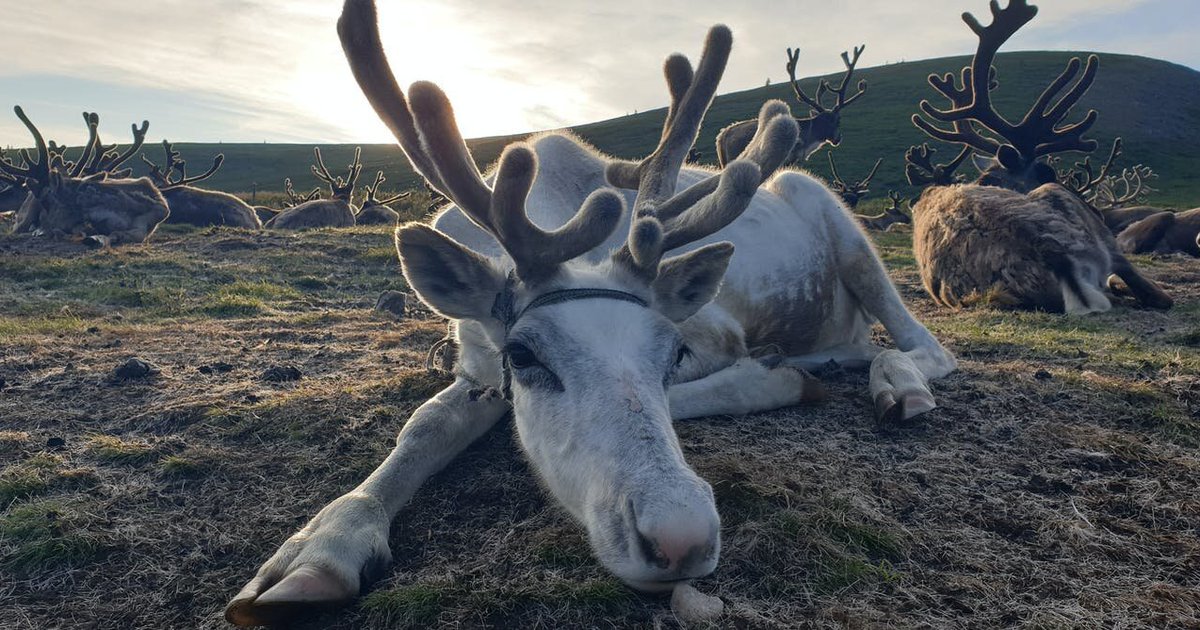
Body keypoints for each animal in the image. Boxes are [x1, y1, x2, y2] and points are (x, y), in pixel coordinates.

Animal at [904, 0, 1172, 314]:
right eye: (1046, 171)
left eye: (985, 176)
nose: (1097, 211)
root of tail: (1055, 256)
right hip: (1097, 234)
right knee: (1151, 293)